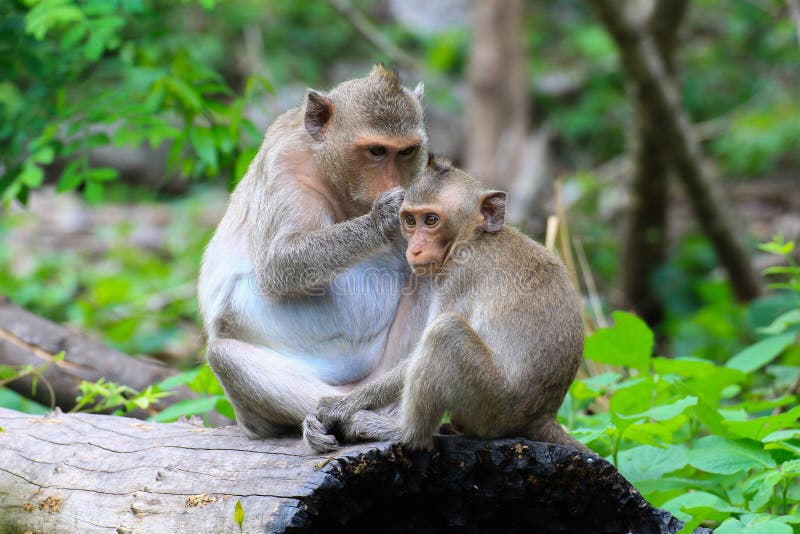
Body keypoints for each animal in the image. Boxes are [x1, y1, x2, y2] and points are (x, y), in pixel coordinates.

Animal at [197, 66, 430, 446]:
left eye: (406, 151)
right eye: (377, 151)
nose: (393, 183)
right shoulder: (283, 165)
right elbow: (278, 265)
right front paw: (383, 218)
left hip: (382, 372)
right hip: (262, 413)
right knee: (225, 356)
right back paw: (344, 419)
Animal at [303, 156, 588, 453]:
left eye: (431, 220)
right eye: (410, 220)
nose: (414, 248)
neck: (473, 236)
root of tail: (543, 414)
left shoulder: (459, 274)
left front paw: (339, 406)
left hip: (493, 404)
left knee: (445, 331)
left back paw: (403, 432)